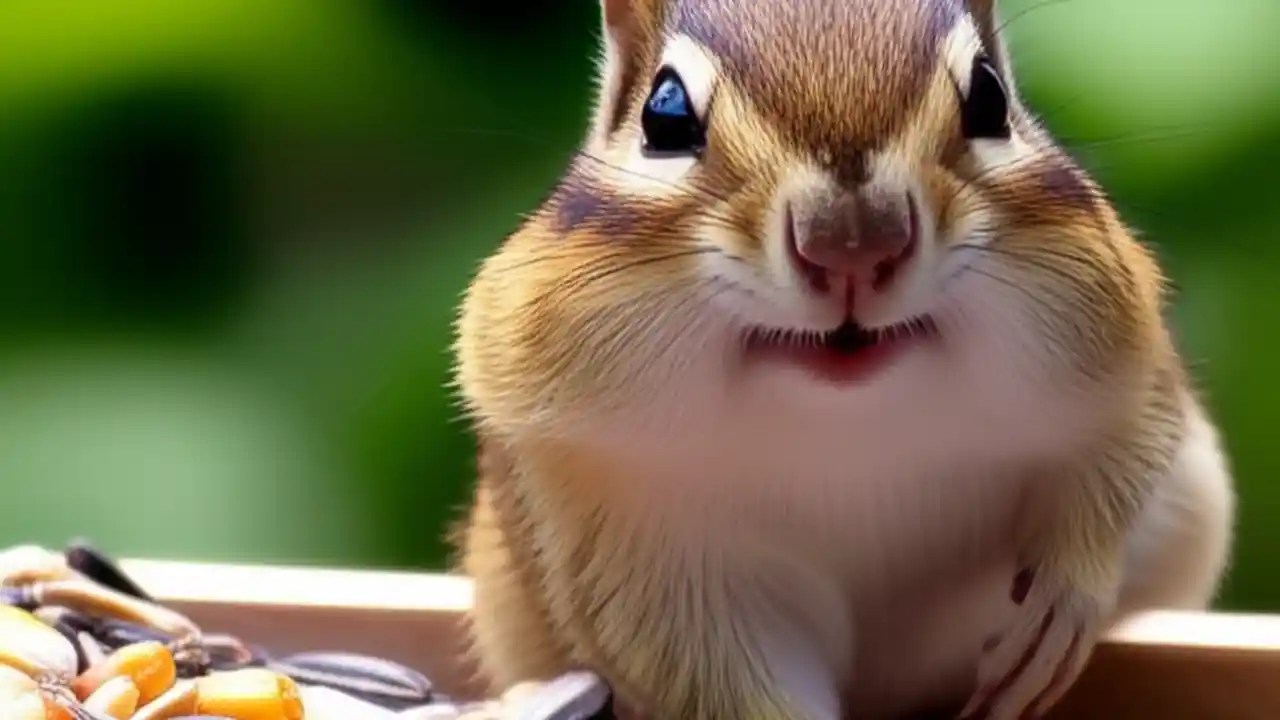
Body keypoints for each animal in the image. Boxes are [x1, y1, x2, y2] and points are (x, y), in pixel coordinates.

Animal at [450, 0, 1236, 718]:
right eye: (664, 115)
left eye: (989, 95)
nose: (853, 244)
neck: (852, 432)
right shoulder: (627, 538)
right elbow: (724, 680)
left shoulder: (1124, 361)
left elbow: (1123, 460)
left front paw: (1062, 601)